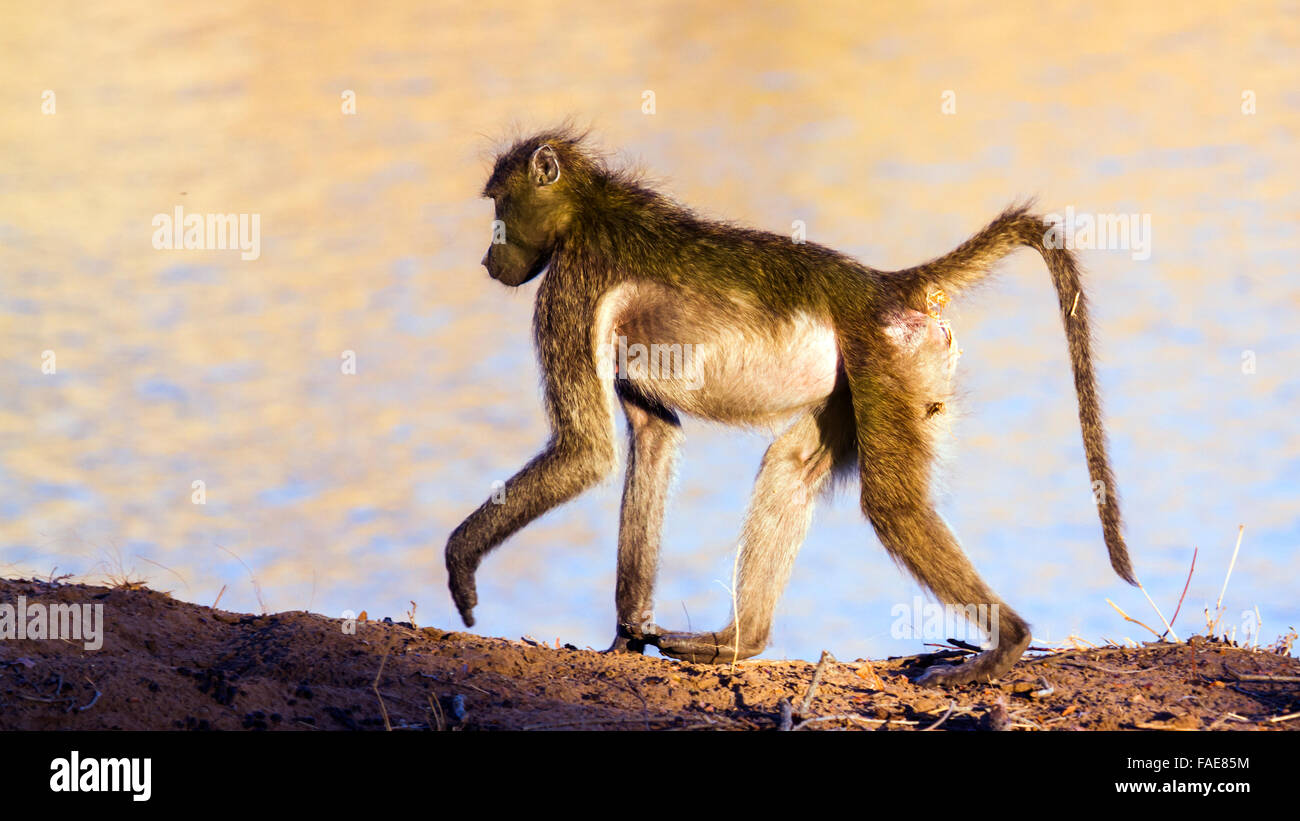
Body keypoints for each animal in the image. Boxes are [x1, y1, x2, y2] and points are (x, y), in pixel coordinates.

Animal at [445, 127, 1135, 686]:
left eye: (498, 205)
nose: (487, 258)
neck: (587, 208)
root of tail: (886, 287)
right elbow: (654, 436)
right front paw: (624, 636)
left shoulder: (570, 286)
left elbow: (586, 452)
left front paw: (460, 561)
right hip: (878, 378)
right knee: (791, 465)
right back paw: (733, 643)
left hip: (886, 359)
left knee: (893, 507)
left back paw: (1007, 644)